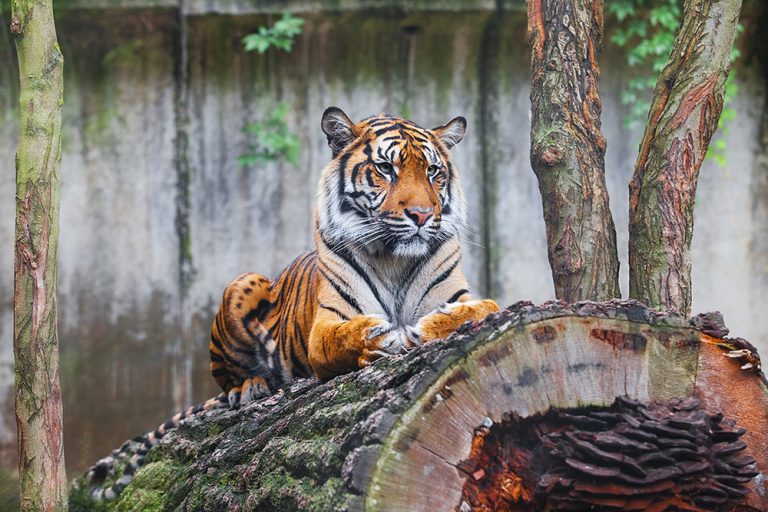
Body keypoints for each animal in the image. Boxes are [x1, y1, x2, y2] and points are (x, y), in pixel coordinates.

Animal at [83, 108, 499, 500]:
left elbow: (486, 308)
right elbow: (345, 337)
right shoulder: (326, 326)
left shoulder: (462, 296)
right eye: (385, 168)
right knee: (227, 380)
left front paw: (429, 327)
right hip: (242, 283)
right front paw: (381, 339)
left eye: (432, 171)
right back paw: (251, 387)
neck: (394, 259)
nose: (422, 215)